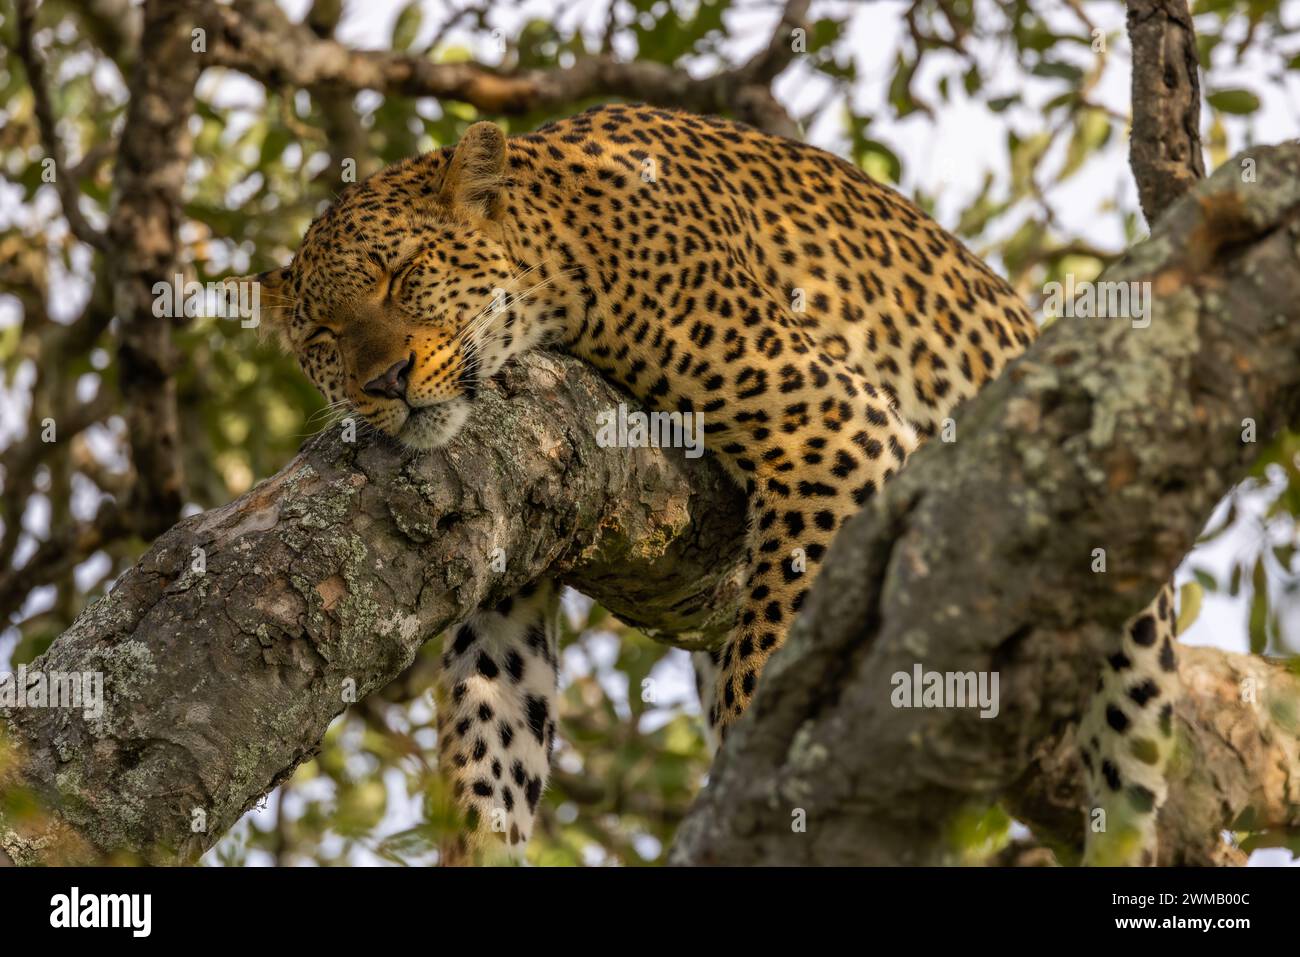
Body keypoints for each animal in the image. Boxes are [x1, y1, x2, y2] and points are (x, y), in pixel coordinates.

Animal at [236, 103, 1180, 866]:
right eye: (322, 335)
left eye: (403, 275)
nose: (384, 382)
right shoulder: (519, 541)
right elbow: (491, 739)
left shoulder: (831, 423)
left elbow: (766, 672)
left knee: (1132, 779)